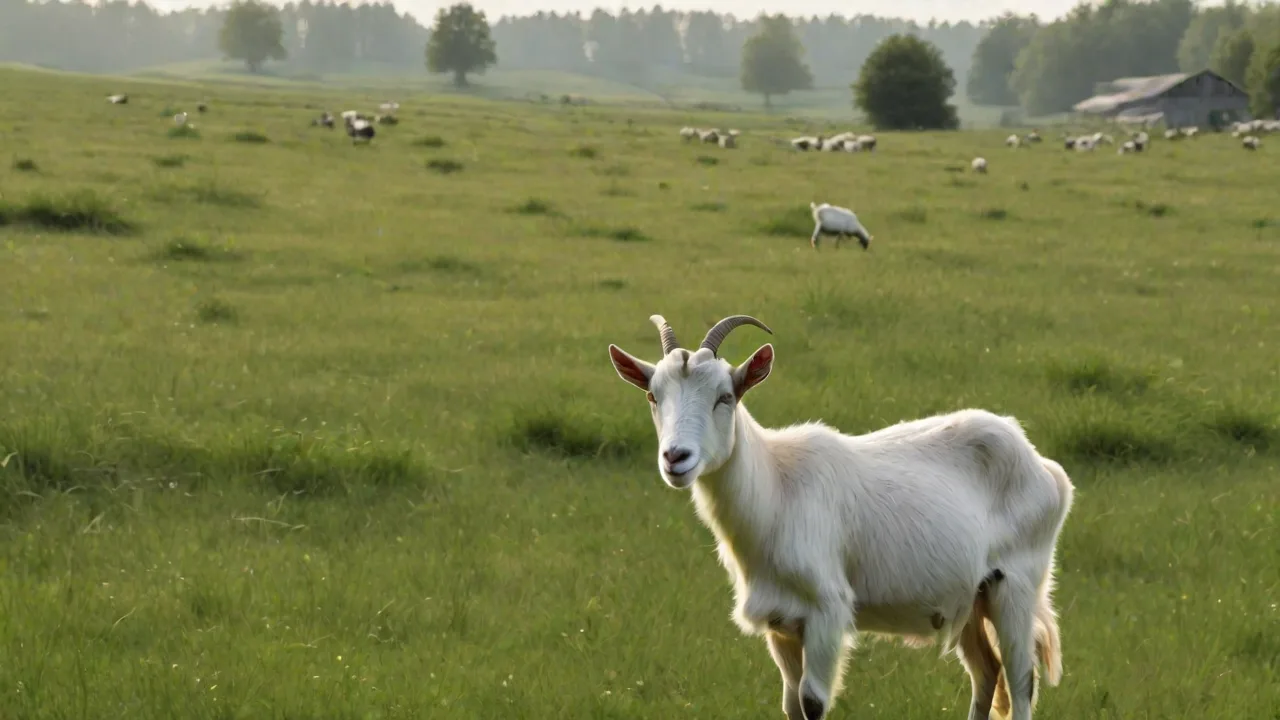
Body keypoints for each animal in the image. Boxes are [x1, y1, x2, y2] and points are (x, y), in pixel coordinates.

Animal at [607, 315, 1075, 720]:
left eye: (725, 396)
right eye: (653, 395)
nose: (676, 458)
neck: (777, 487)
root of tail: (1045, 469)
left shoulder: (827, 612)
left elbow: (813, 702)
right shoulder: (781, 623)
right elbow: (791, 703)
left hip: (1015, 585)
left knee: (1021, 679)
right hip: (971, 597)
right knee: (986, 673)